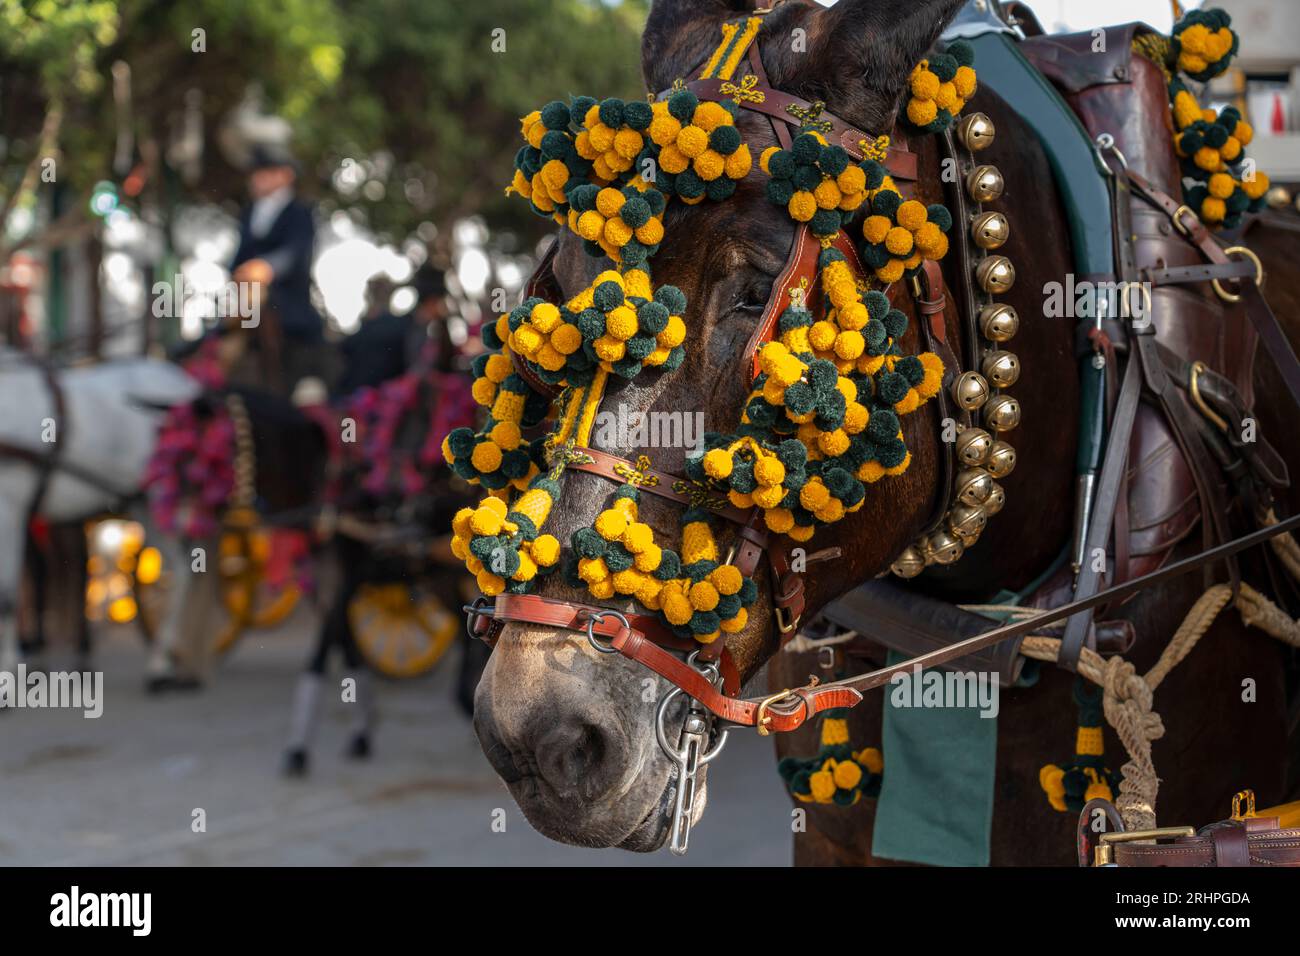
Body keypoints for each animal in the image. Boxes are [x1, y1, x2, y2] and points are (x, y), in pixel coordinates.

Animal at [0, 348, 200, 686]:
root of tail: (181, 379)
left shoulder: (10, 505)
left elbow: (8, 593)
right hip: (139, 501)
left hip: (160, 495)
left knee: (185, 568)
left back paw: (161, 664)